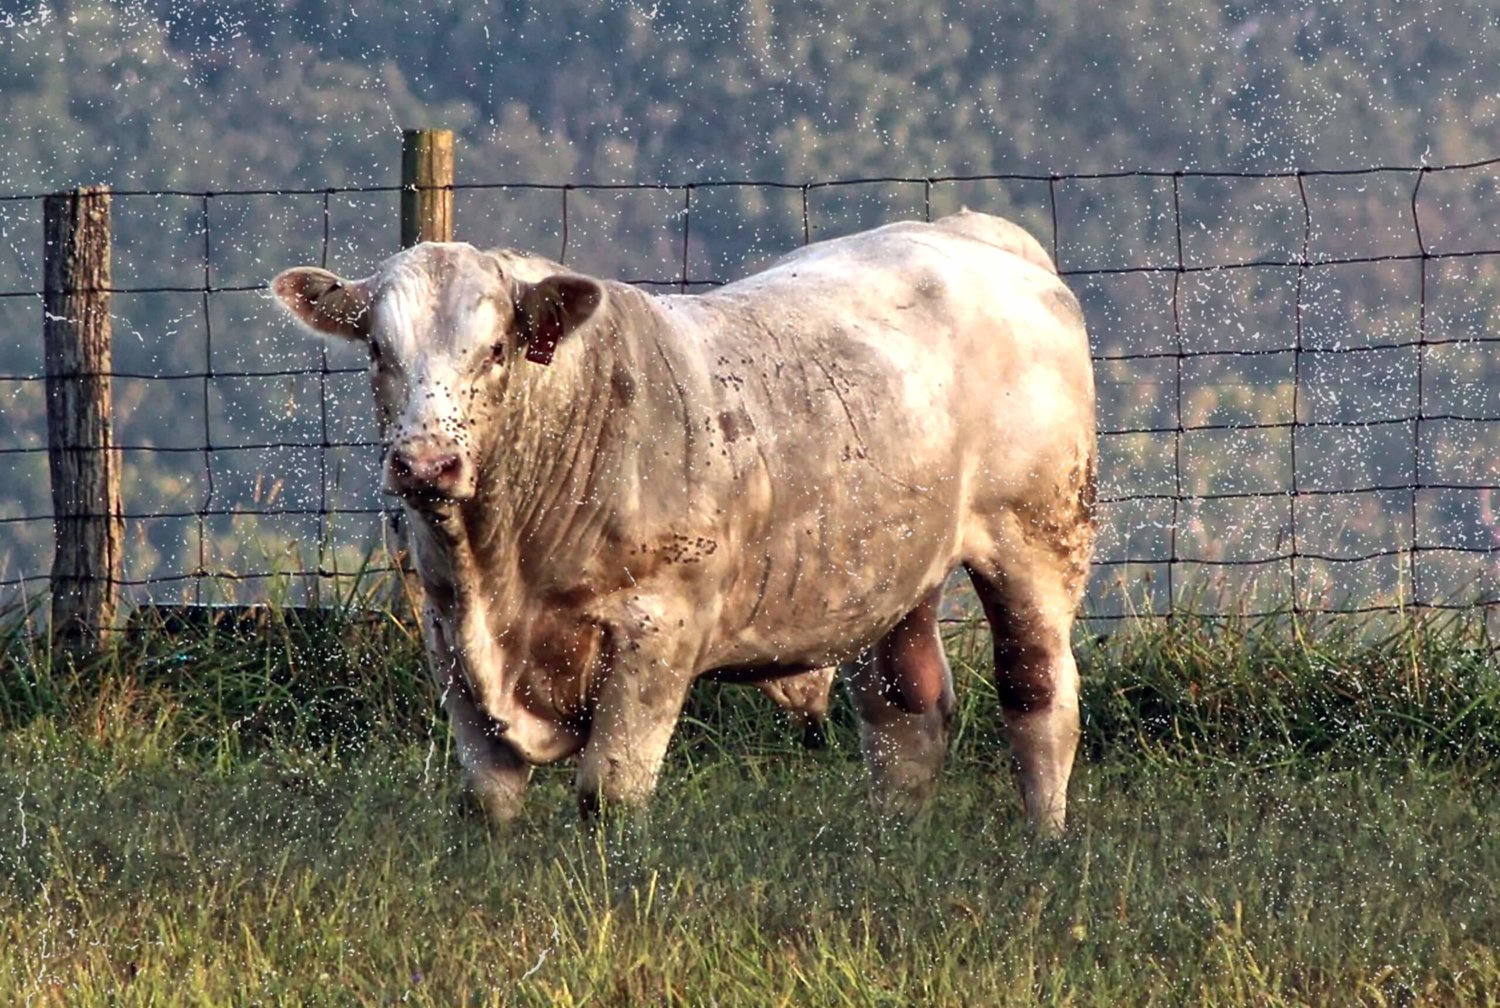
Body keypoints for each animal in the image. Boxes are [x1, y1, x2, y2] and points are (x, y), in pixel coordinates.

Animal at [271, 209, 1096, 835]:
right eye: (378, 349)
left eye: (497, 348)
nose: (426, 462)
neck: (497, 565)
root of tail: (969, 231)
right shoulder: (448, 637)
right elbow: (488, 800)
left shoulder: (658, 631)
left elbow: (609, 791)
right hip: (887, 573)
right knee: (905, 714)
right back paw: (889, 846)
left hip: (1039, 534)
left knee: (1038, 695)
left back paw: (1043, 842)